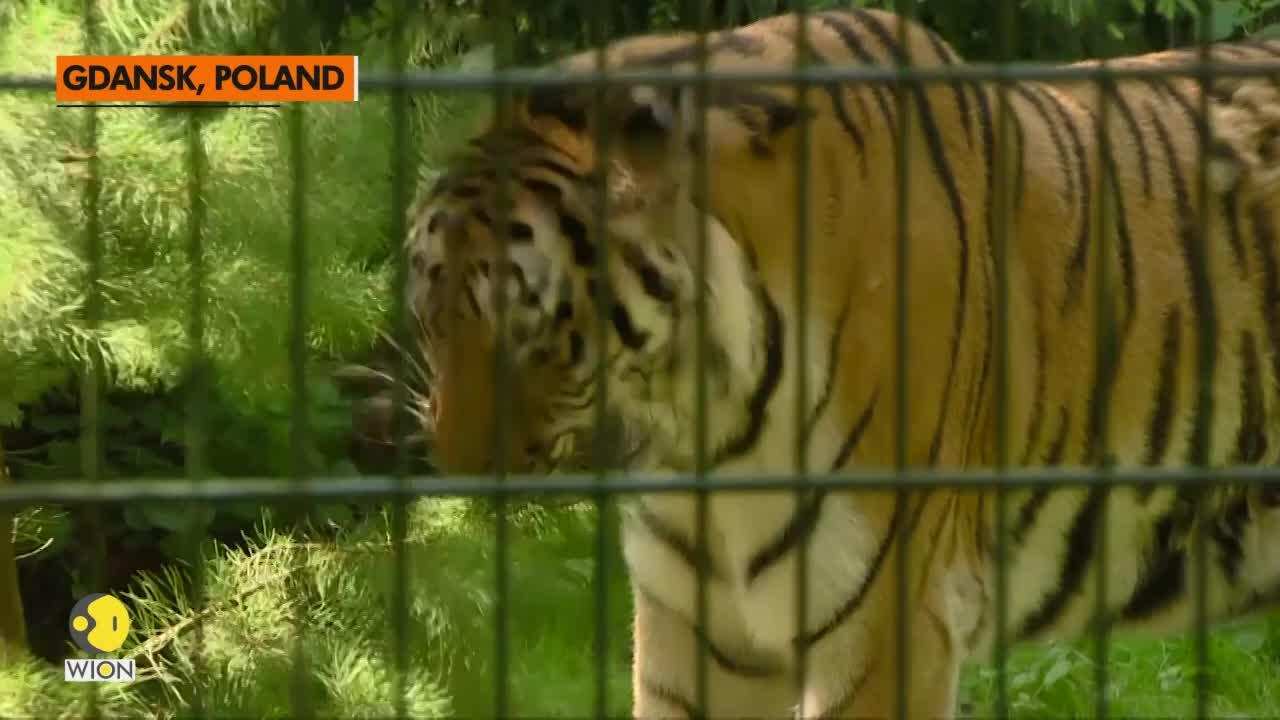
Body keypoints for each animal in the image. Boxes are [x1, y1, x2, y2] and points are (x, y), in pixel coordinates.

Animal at [397, 7, 1280, 719]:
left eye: (536, 329)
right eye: (429, 321)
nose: (457, 472)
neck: (704, 419)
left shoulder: (890, 618)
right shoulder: (695, 627)